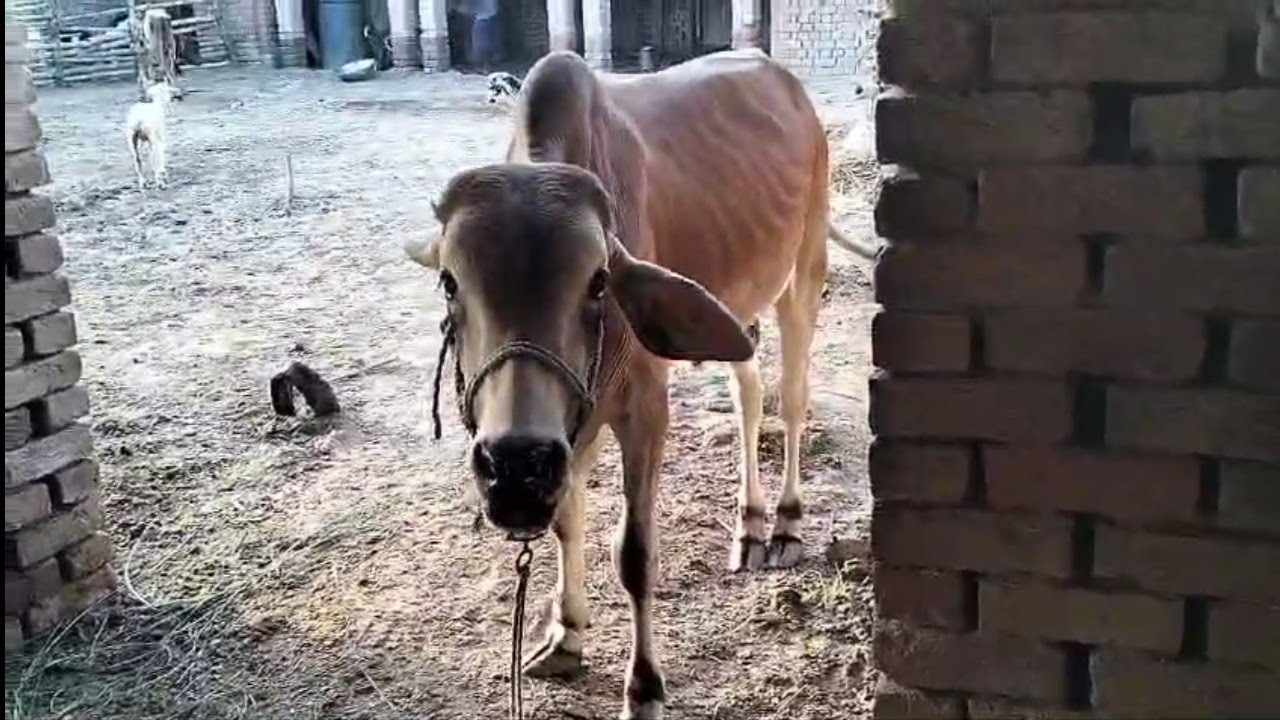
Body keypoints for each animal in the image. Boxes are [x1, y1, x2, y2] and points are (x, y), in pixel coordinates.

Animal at [404, 49, 881, 719]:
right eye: (450, 282)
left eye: (599, 280)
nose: (515, 467)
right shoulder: (570, 426)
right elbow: (565, 520)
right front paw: (566, 633)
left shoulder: (644, 410)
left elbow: (634, 552)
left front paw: (644, 688)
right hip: (738, 305)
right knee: (749, 392)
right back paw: (750, 523)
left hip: (805, 265)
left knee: (791, 398)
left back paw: (785, 522)